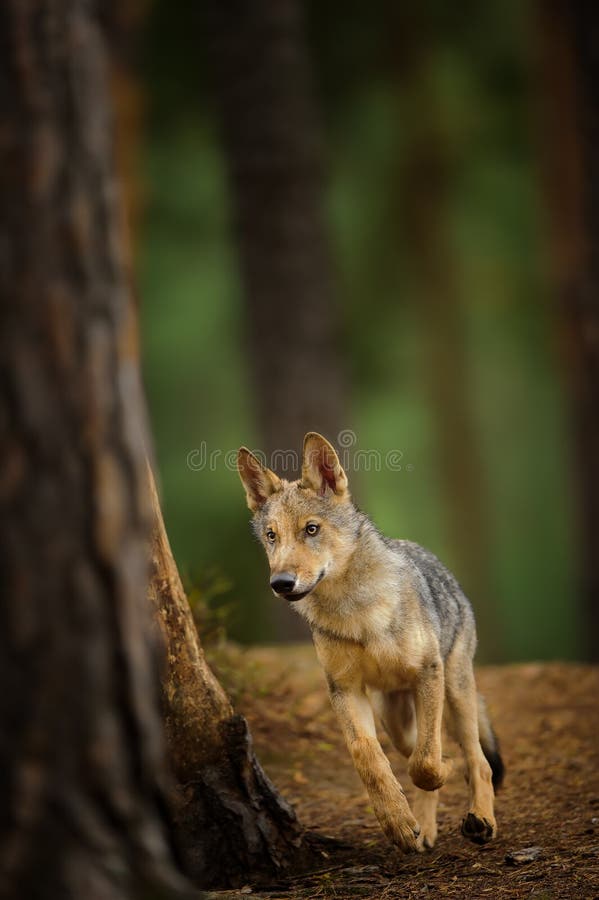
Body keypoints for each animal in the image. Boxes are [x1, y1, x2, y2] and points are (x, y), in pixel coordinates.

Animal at [237, 432, 504, 853]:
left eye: (311, 529)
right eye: (271, 536)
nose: (281, 583)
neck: (353, 611)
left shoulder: (428, 672)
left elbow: (428, 764)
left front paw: (440, 776)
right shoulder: (345, 690)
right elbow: (368, 758)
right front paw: (397, 823)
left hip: (455, 691)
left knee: (477, 759)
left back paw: (481, 820)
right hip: (395, 719)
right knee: (421, 754)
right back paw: (425, 832)